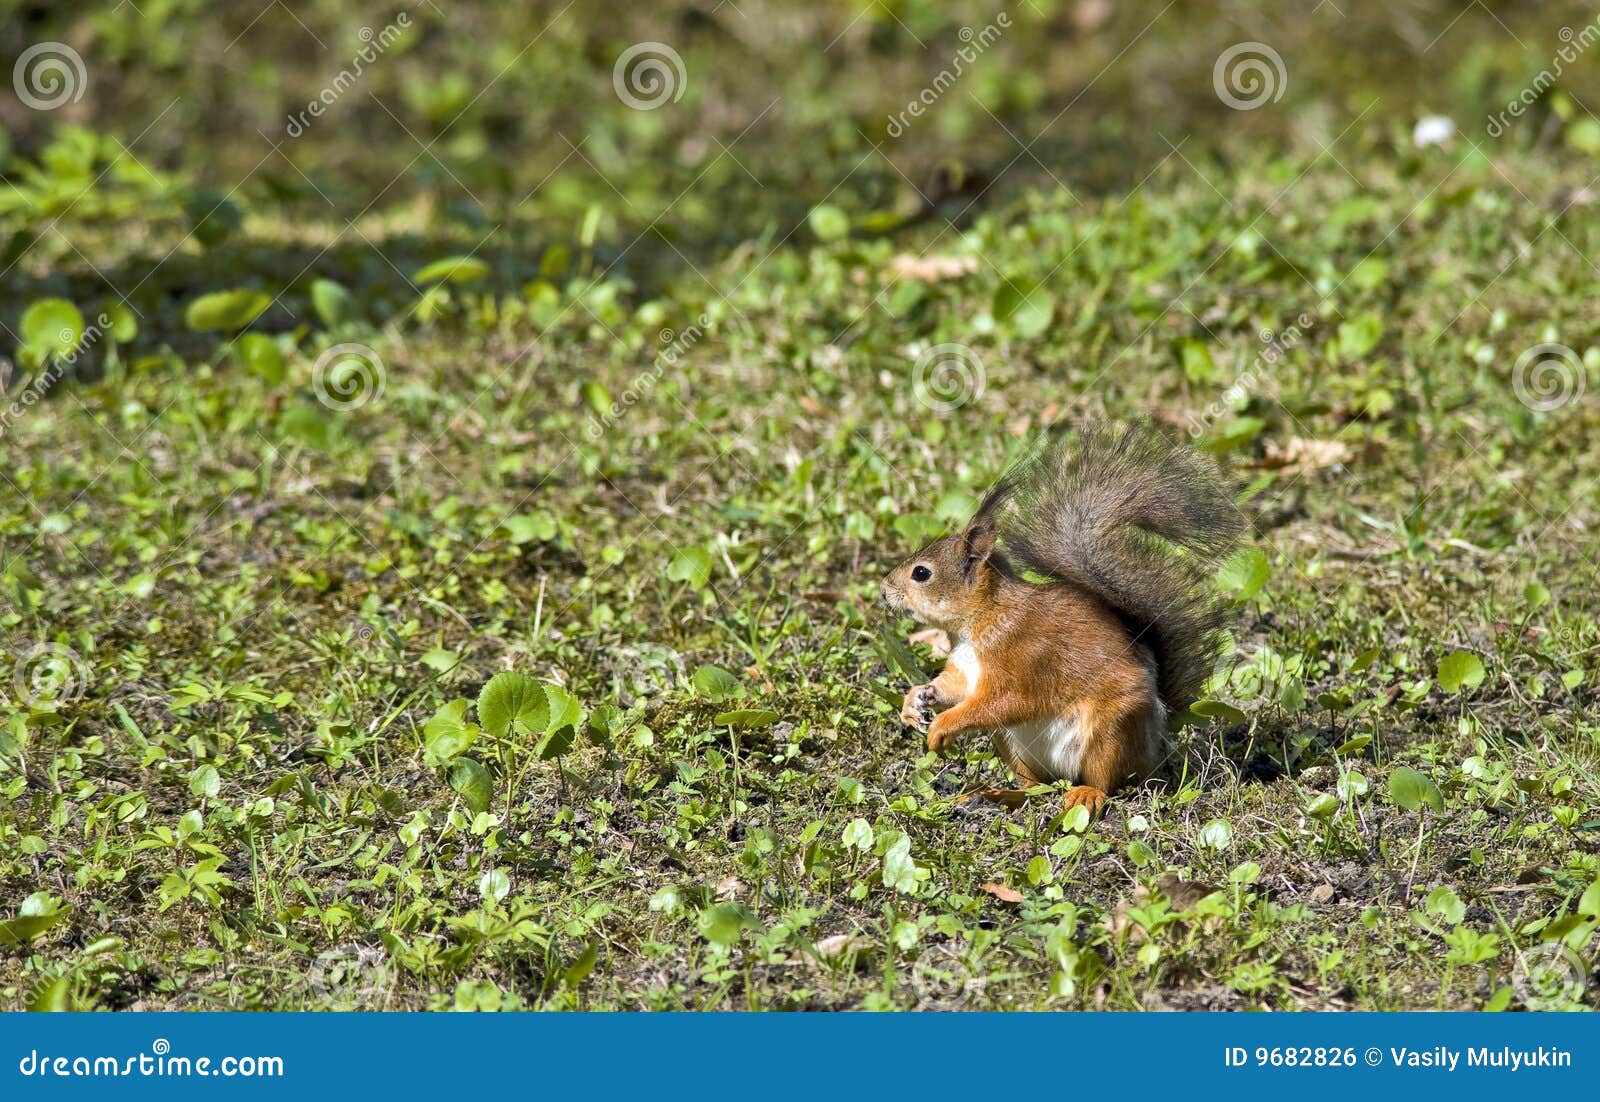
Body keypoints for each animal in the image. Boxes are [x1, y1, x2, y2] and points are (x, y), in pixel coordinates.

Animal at [881, 419, 1243, 815]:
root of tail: (1156, 745)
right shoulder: (966, 669)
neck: (980, 621)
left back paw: (1086, 794)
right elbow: (955, 688)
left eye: (921, 573)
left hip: (1110, 731)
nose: (883, 590)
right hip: (1014, 745)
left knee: (1107, 781)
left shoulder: (1027, 659)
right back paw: (997, 794)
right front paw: (916, 701)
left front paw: (943, 725)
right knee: (1036, 786)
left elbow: (1007, 701)